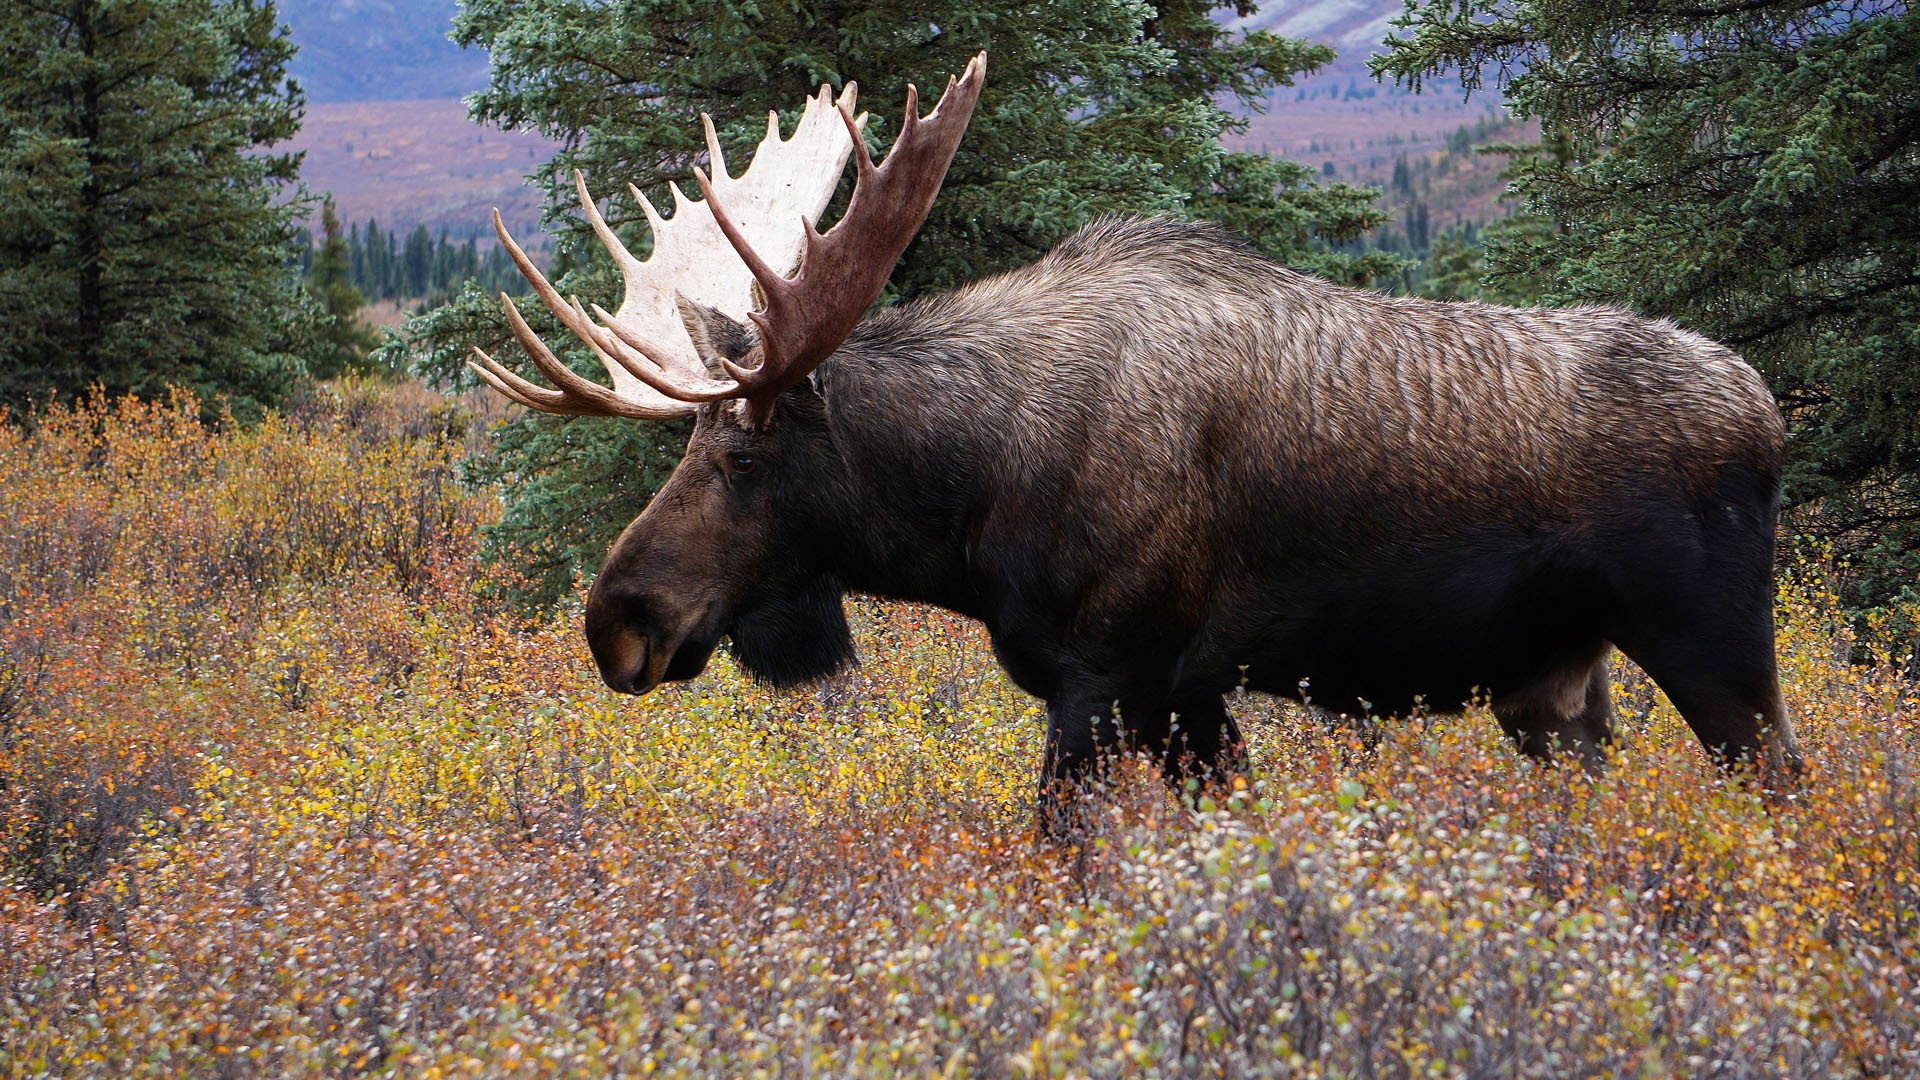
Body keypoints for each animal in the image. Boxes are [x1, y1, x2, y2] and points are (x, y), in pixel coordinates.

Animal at [469, 55, 1804, 829]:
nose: (619, 619)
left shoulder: (1107, 678)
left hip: (1714, 643)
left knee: (1786, 789)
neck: (967, 511)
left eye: (741, 461)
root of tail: (1766, 411)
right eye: (685, 450)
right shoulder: (1191, 697)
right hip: (1556, 689)